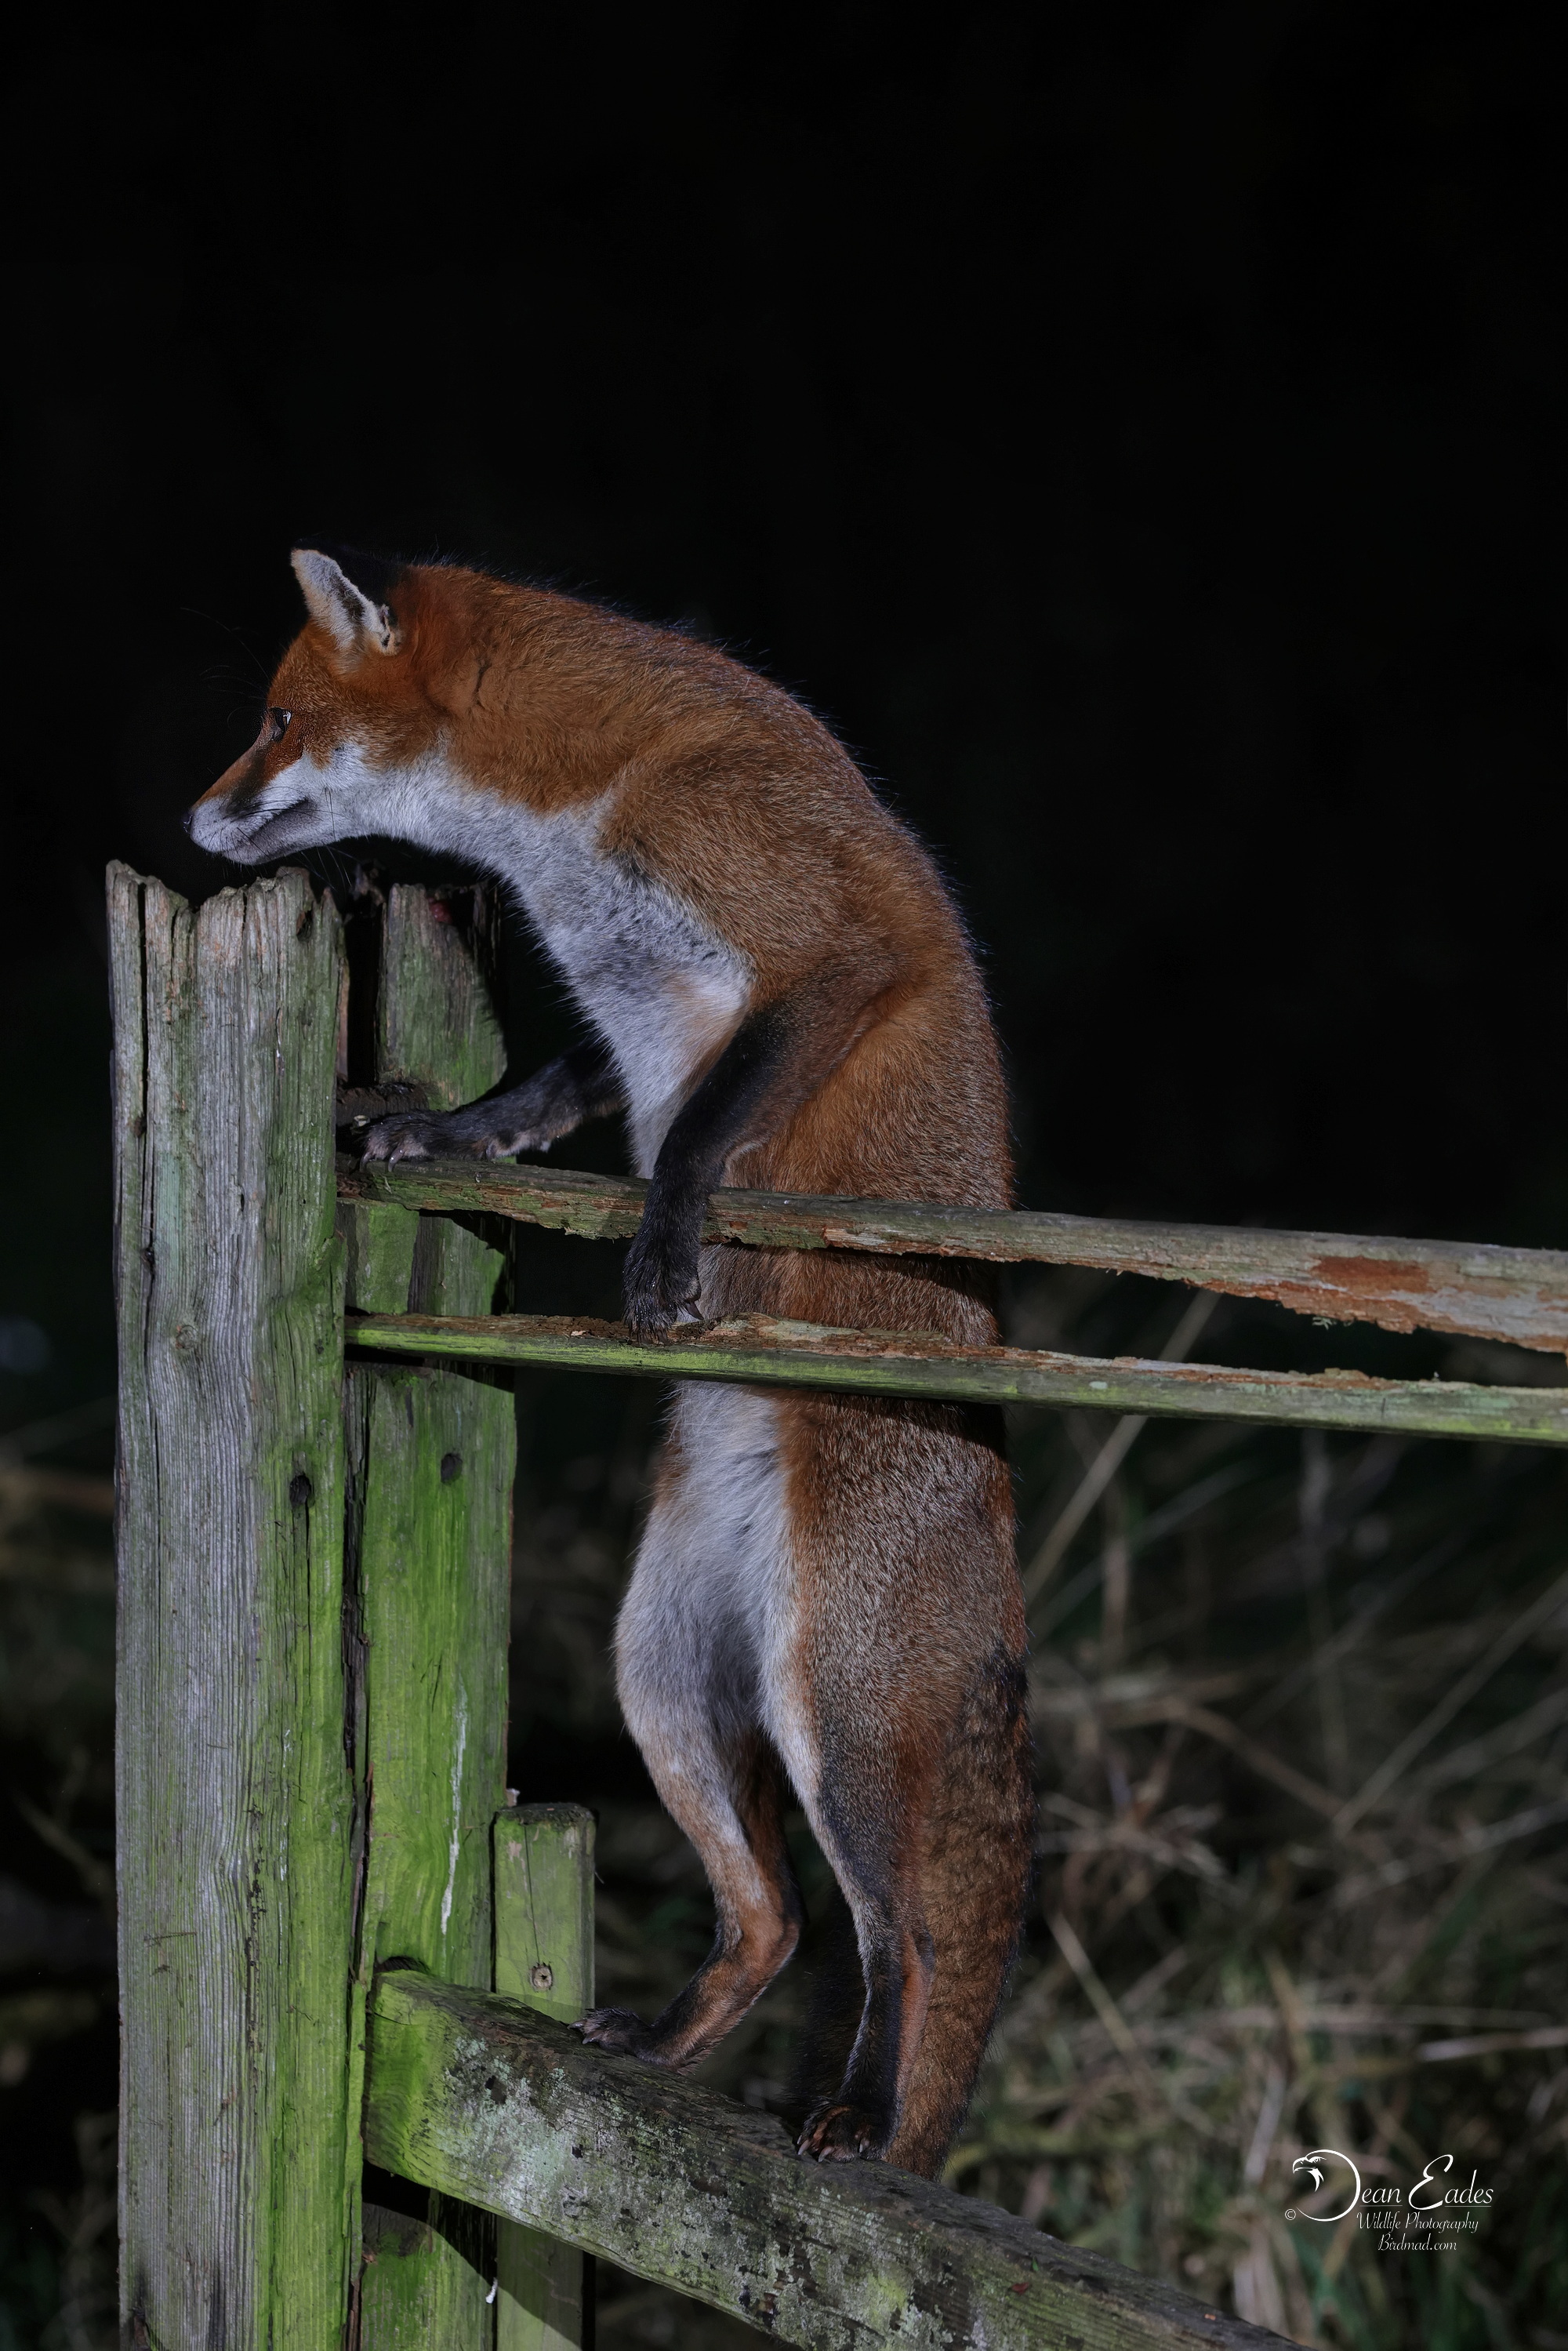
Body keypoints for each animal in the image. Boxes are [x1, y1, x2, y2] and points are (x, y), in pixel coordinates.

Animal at [186, 546, 1033, 2175]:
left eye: (273, 718)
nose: (193, 819)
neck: (573, 828)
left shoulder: (829, 941)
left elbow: (697, 1133)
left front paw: (662, 1251)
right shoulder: (623, 1016)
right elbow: (550, 1093)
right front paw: (441, 1129)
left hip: (827, 1704)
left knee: (895, 1933)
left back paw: (855, 2104)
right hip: (662, 1676)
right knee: (771, 1923)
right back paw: (671, 2043)